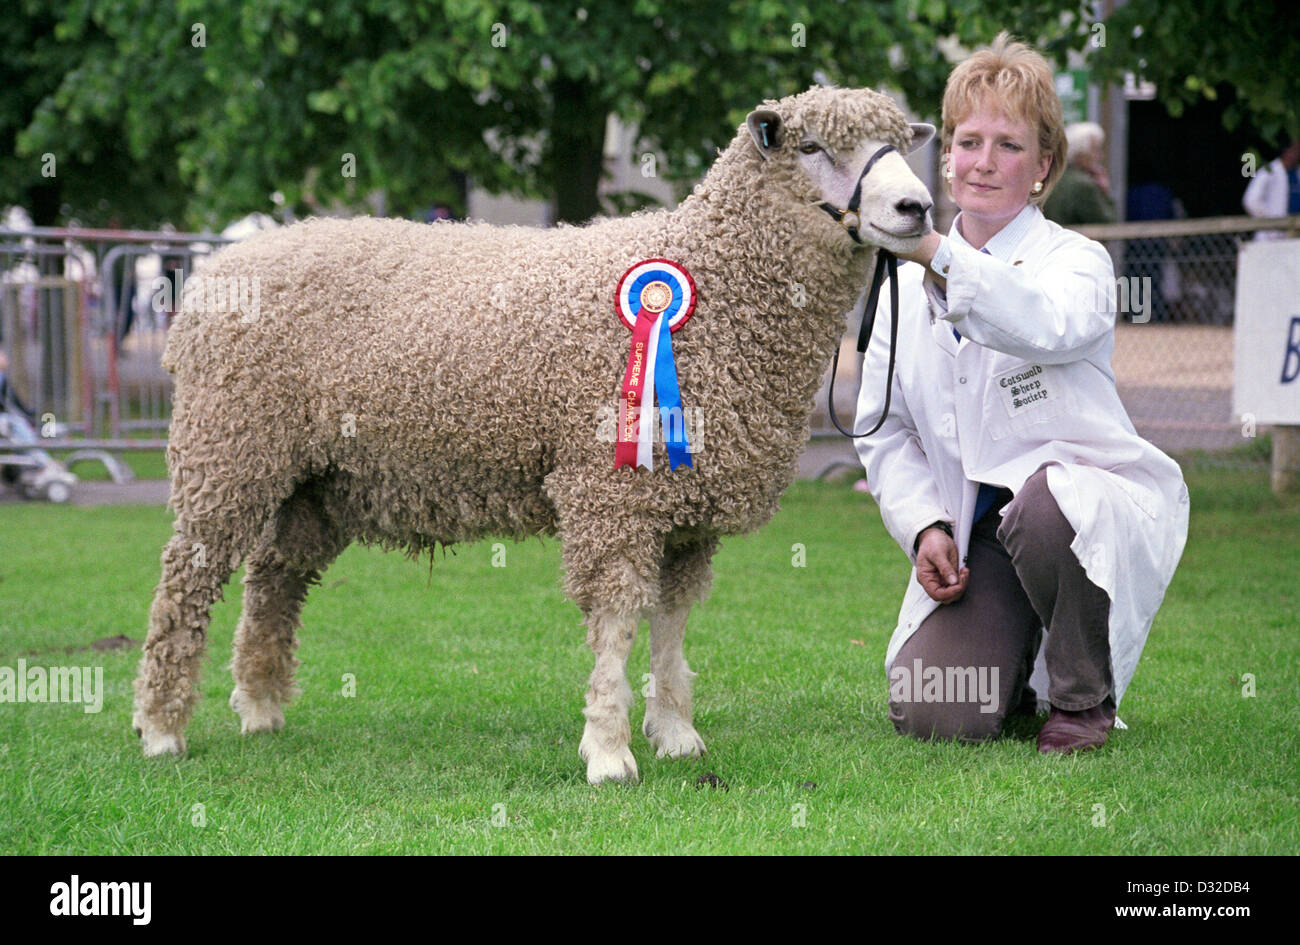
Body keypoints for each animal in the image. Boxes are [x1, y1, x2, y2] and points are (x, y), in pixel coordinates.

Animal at [132, 85, 935, 784]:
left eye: (901, 146)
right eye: (812, 146)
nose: (918, 206)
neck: (715, 285)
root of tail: (214, 272)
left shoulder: (687, 507)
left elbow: (671, 623)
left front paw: (676, 731)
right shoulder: (612, 490)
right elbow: (617, 622)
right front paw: (609, 751)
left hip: (314, 480)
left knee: (274, 580)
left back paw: (260, 709)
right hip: (227, 448)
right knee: (185, 584)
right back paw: (162, 729)